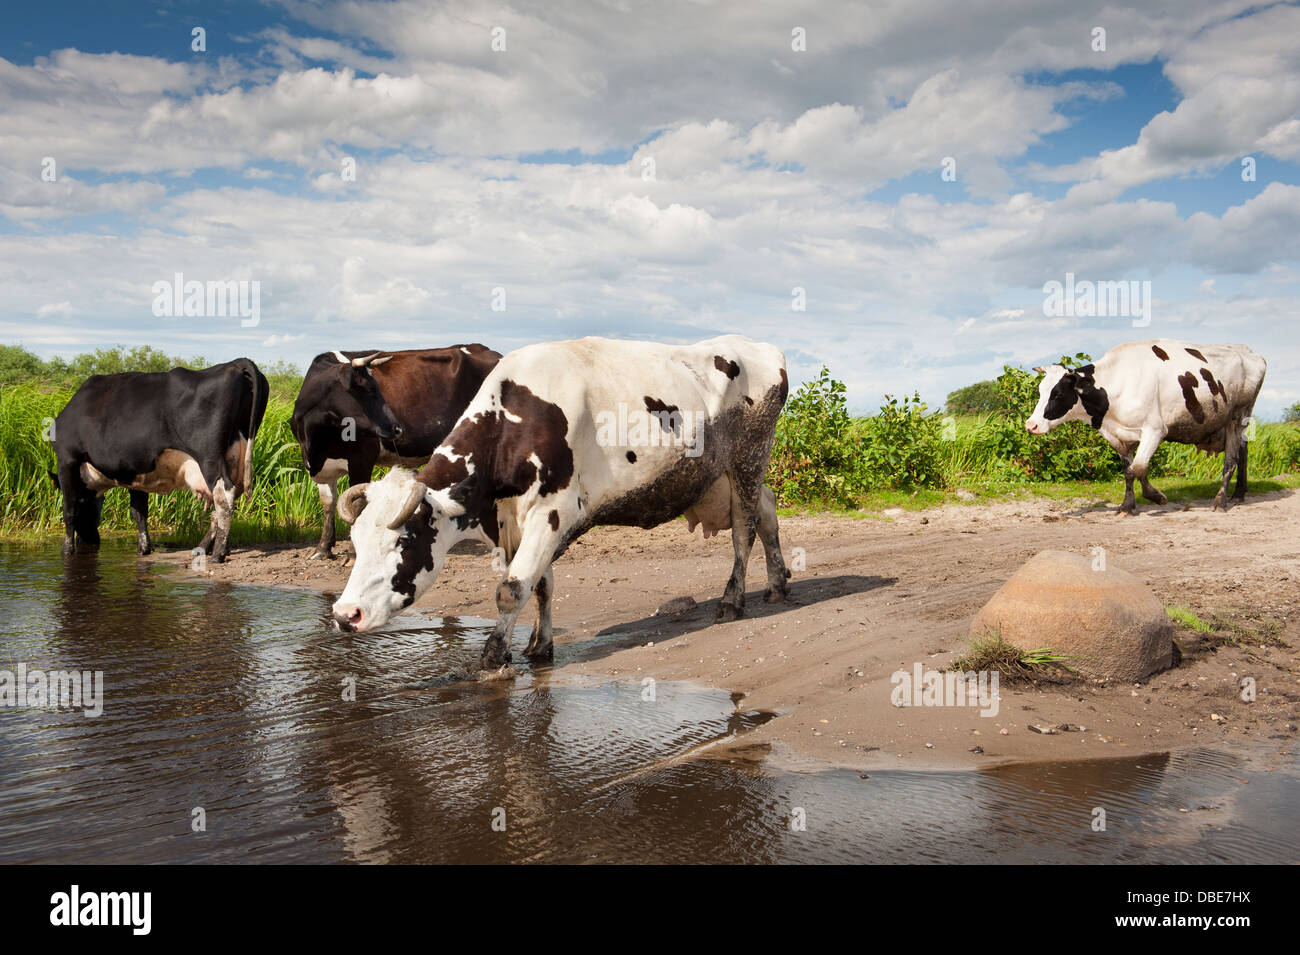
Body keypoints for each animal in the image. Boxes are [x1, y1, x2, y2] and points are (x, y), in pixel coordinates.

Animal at [52, 358, 269, 560]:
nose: (92, 540)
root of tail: (235, 363)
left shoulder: (66, 459)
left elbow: (69, 510)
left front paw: (67, 550)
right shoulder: (134, 470)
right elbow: (139, 512)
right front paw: (144, 548)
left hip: (209, 459)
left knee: (223, 497)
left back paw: (218, 553)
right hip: (234, 455)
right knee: (223, 500)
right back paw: (205, 547)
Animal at [290, 345, 502, 559]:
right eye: (369, 389)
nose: (397, 429)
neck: (314, 440)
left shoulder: (361, 460)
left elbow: (357, 504)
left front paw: (353, 552)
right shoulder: (320, 466)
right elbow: (328, 503)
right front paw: (323, 547)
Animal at [329, 335, 792, 675]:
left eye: (403, 543)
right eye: (357, 545)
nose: (345, 614)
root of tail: (760, 347)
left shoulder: (552, 512)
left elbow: (512, 588)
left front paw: (493, 656)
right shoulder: (516, 520)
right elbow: (541, 585)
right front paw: (539, 645)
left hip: (749, 458)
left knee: (744, 530)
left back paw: (733, 601)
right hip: (729, 476)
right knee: (768, 510)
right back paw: (777, 583)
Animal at [1025, 340, 1267, 513]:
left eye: (1057, 394)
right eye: (1040, 391)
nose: (1031, 425)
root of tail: (1250, 353)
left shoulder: (1155, 430)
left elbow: (1139, 467)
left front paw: (1157, 496)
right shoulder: (1118, 436)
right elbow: (1128, 471)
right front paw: (1127, 506)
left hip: (1238, 415)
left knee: (1231, 458)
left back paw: (1220, 500)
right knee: (1243, 449)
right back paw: (1239, 493)